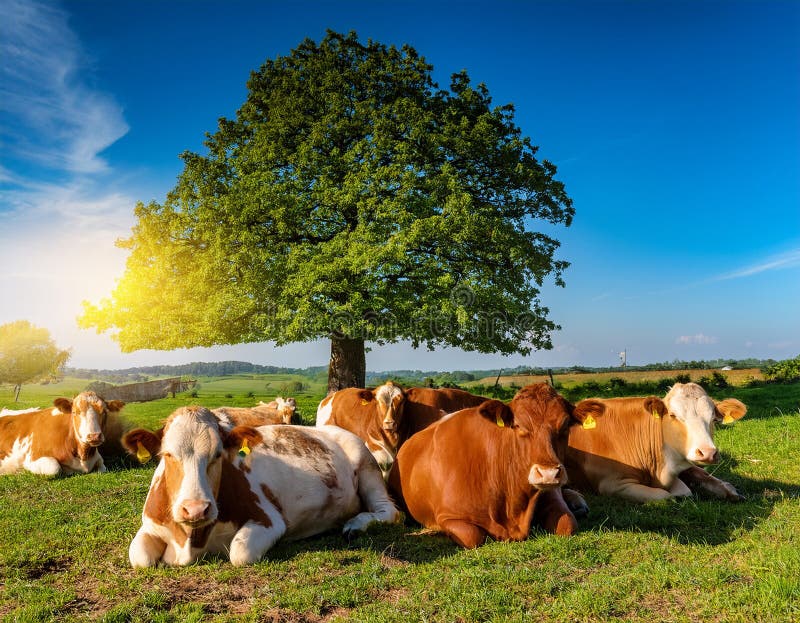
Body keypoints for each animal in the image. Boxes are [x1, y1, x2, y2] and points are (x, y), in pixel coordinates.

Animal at [127, 406, 400, 567]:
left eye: (217, 454)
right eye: (167, 455)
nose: (196, 509)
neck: (190, 541)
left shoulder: (270, 519)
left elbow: (240, 553)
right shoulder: (150, 525)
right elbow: (139, 557)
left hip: (366, 463)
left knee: (389, 511)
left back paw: (354, 525)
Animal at [388, 383, 588, 548]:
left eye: (566, 425)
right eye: (517, 425)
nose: (548, 474)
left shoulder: (550, 494)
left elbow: (568, 525)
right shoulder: (447, 516)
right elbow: (473, 536)